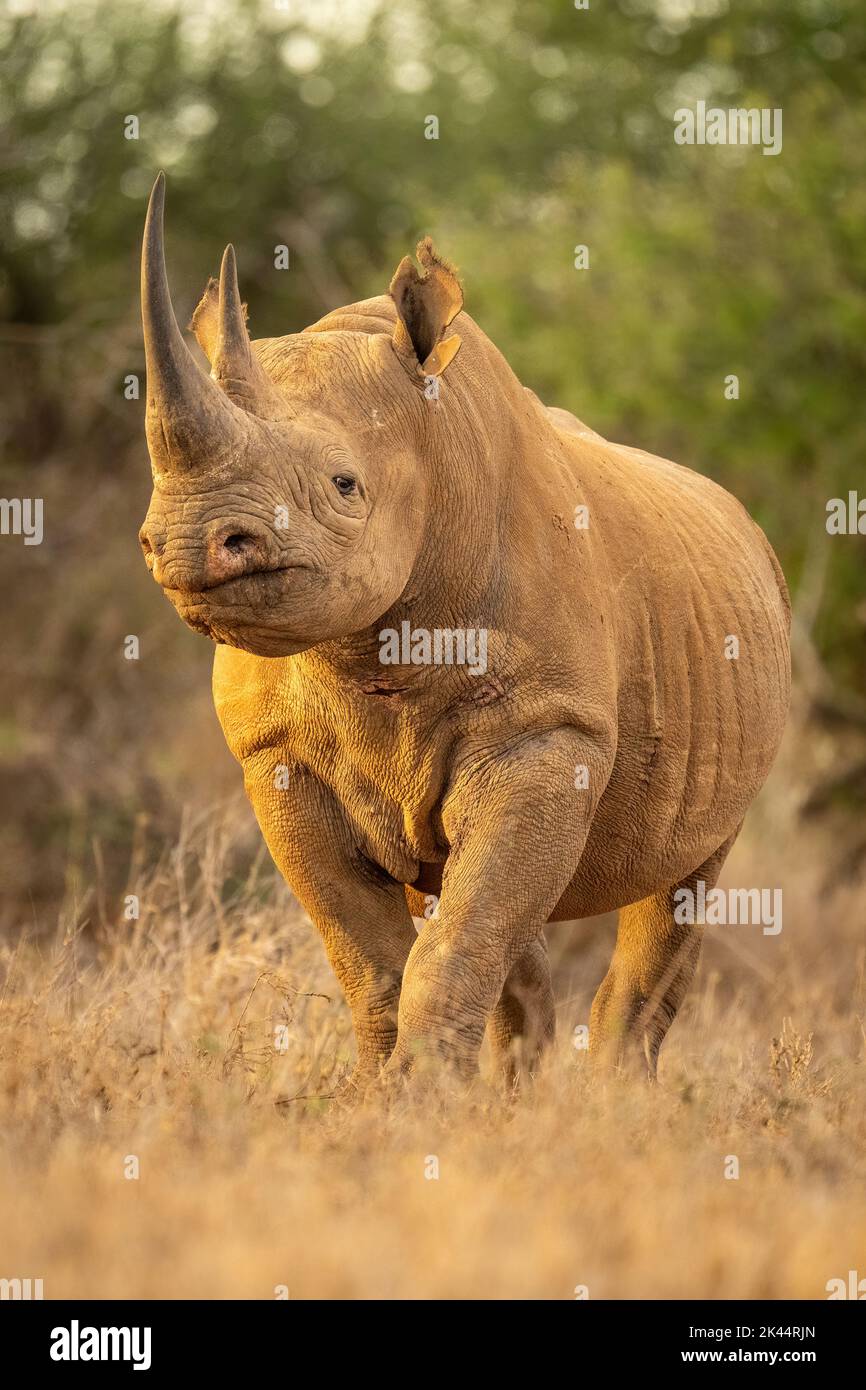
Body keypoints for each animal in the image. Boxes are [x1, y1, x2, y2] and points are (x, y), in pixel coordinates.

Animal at [139, 174, 791, 1089]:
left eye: (345, 486)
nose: (190, 541)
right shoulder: (275, 753)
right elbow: (375, 959)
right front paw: (383, 1100)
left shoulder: (549, 730)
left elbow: (455, 944)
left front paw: (419, 1103)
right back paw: (514, 1097)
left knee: (682, 881)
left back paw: (618, 1102)